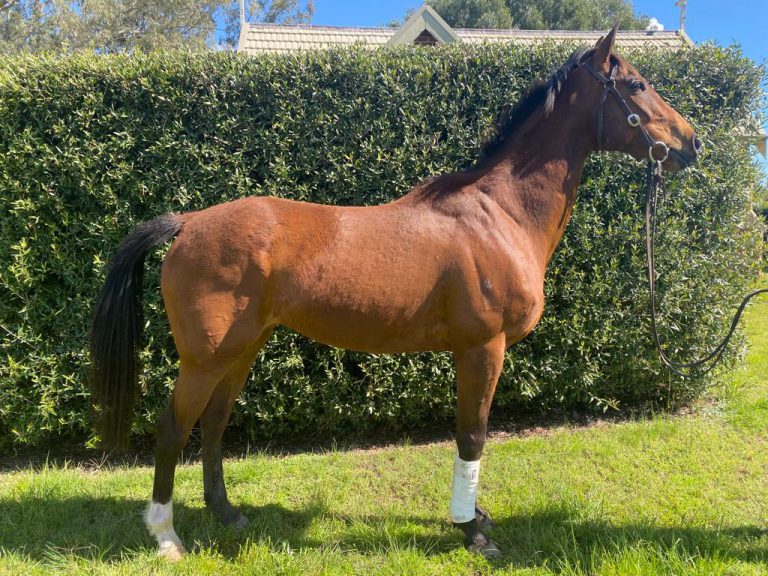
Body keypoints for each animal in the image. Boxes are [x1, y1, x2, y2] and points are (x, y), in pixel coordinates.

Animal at [90, 26, 701, 560]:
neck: (499, 214)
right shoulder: (482, 347)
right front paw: (472, 530)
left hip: (242, 349)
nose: (692, 142)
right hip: (205, 357)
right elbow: (472, 435)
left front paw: (474, 518)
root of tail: (189, 222)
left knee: (213, 425)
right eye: (637, 84)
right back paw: (166, 537)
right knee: (173, 429)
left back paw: (227, 514)